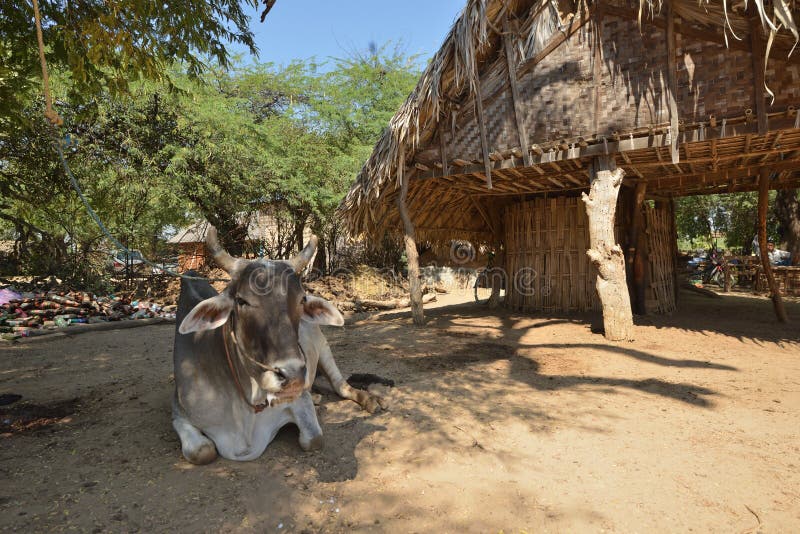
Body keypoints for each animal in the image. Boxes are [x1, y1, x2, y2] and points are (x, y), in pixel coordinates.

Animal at [172, 227, 383, 464]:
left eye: (301, 299)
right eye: (241, 301)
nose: (292, 376)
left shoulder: (299, 403)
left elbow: (314, 439)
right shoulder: (179, 412)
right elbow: (202, 451)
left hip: (324, 348)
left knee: (342, 386)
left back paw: (371, 400)